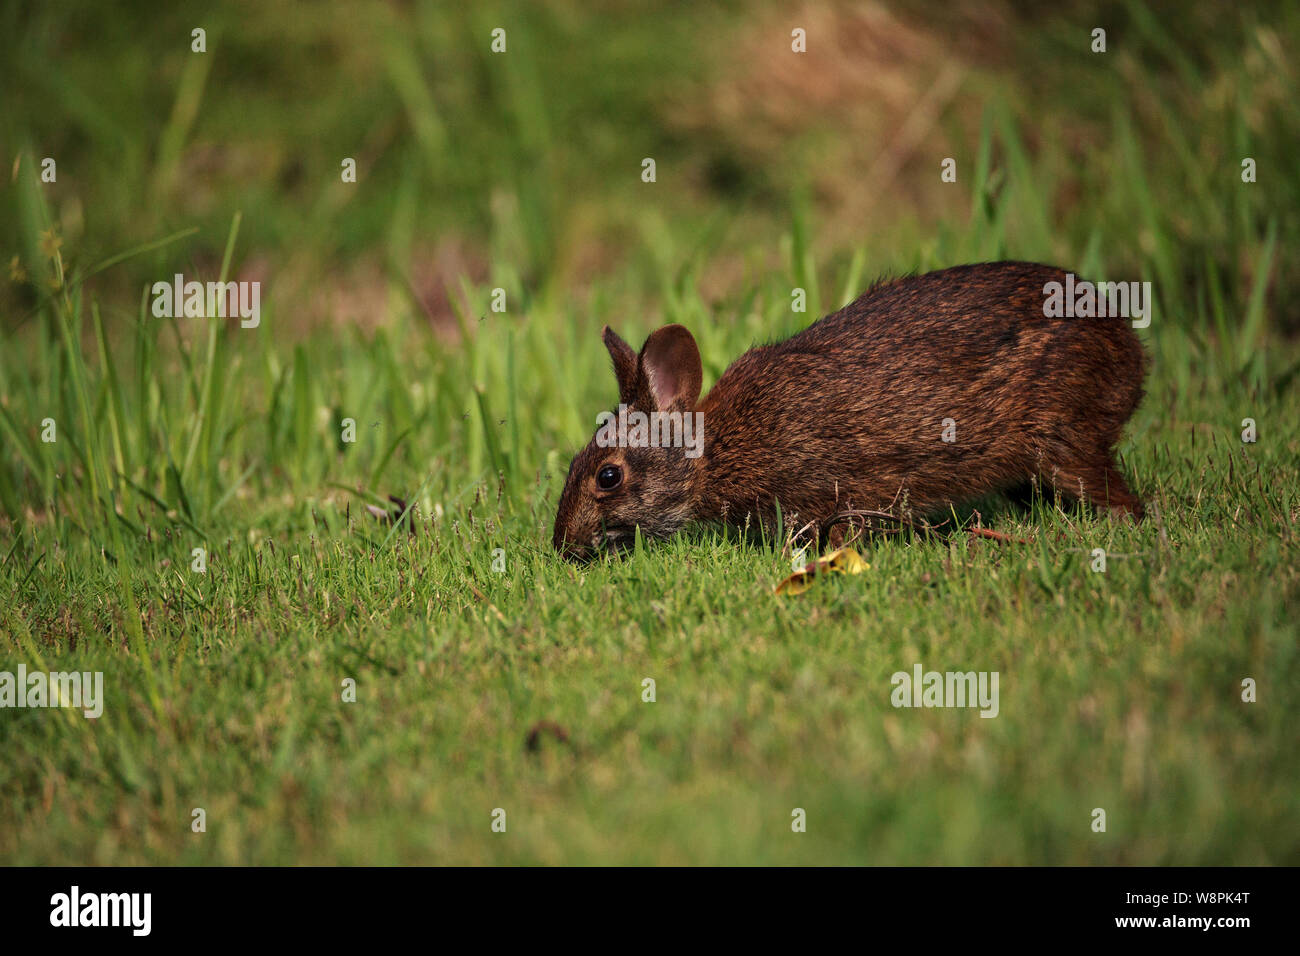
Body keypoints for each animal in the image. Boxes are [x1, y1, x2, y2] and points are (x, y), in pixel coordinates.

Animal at [552, 261, 1146, 560]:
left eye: (608, 477)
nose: (563, 545)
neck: (716, 453)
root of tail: (1130, 354)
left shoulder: (840, 487)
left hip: (1060, 436)